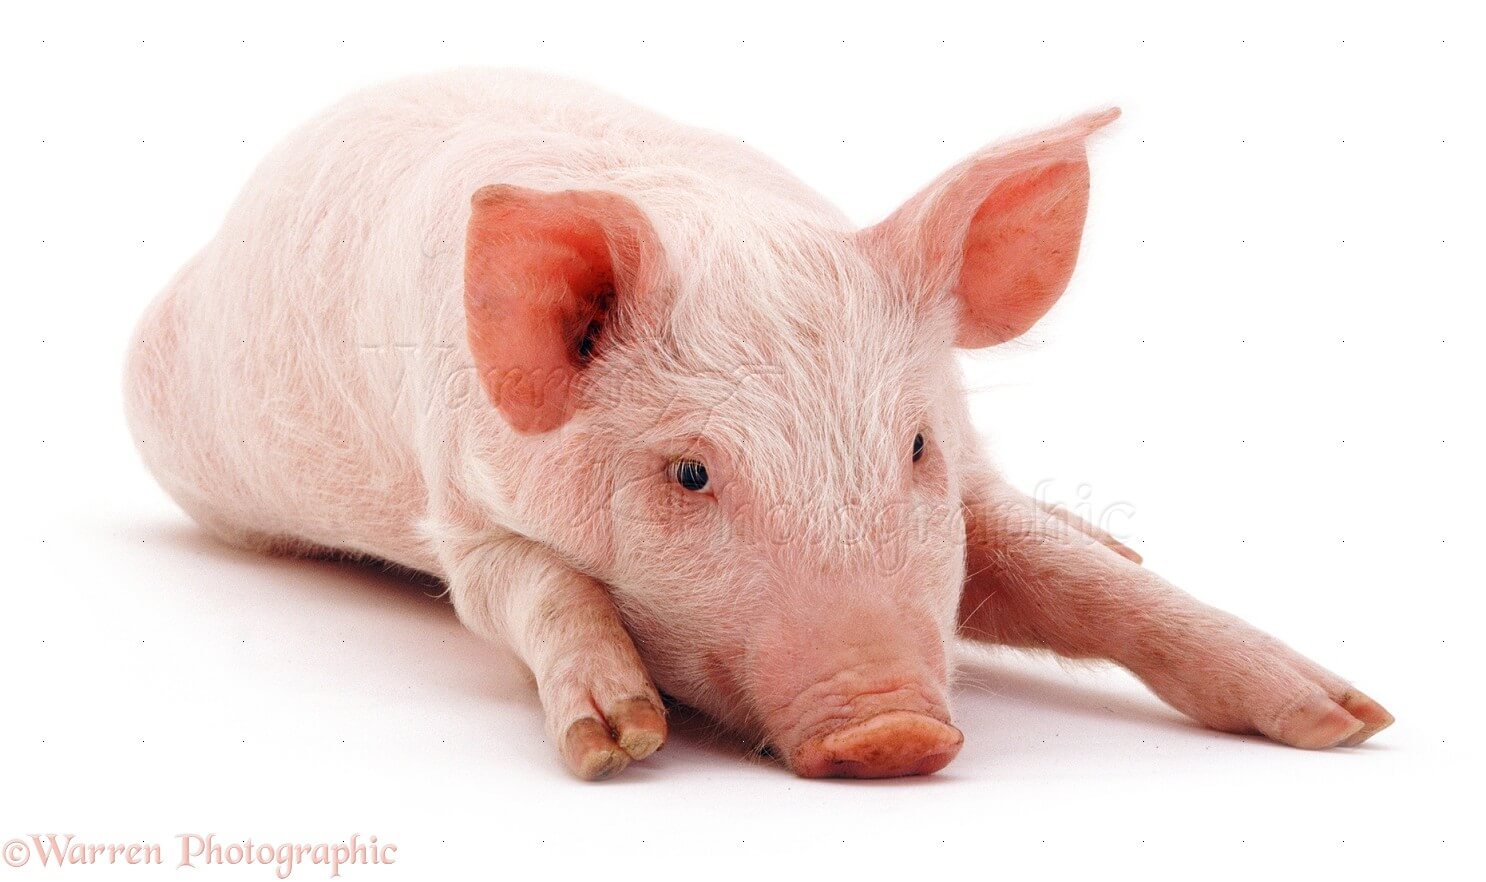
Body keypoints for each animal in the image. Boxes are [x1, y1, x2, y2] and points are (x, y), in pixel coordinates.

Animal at [124, 69, 1392, 780]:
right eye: (689, 474)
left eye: (914, 447)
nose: (894, 733)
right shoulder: (461, 513)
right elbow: (540, 592)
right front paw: (616, 743)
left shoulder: (969, 491)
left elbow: (1077, 581)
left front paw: (1347, 719)